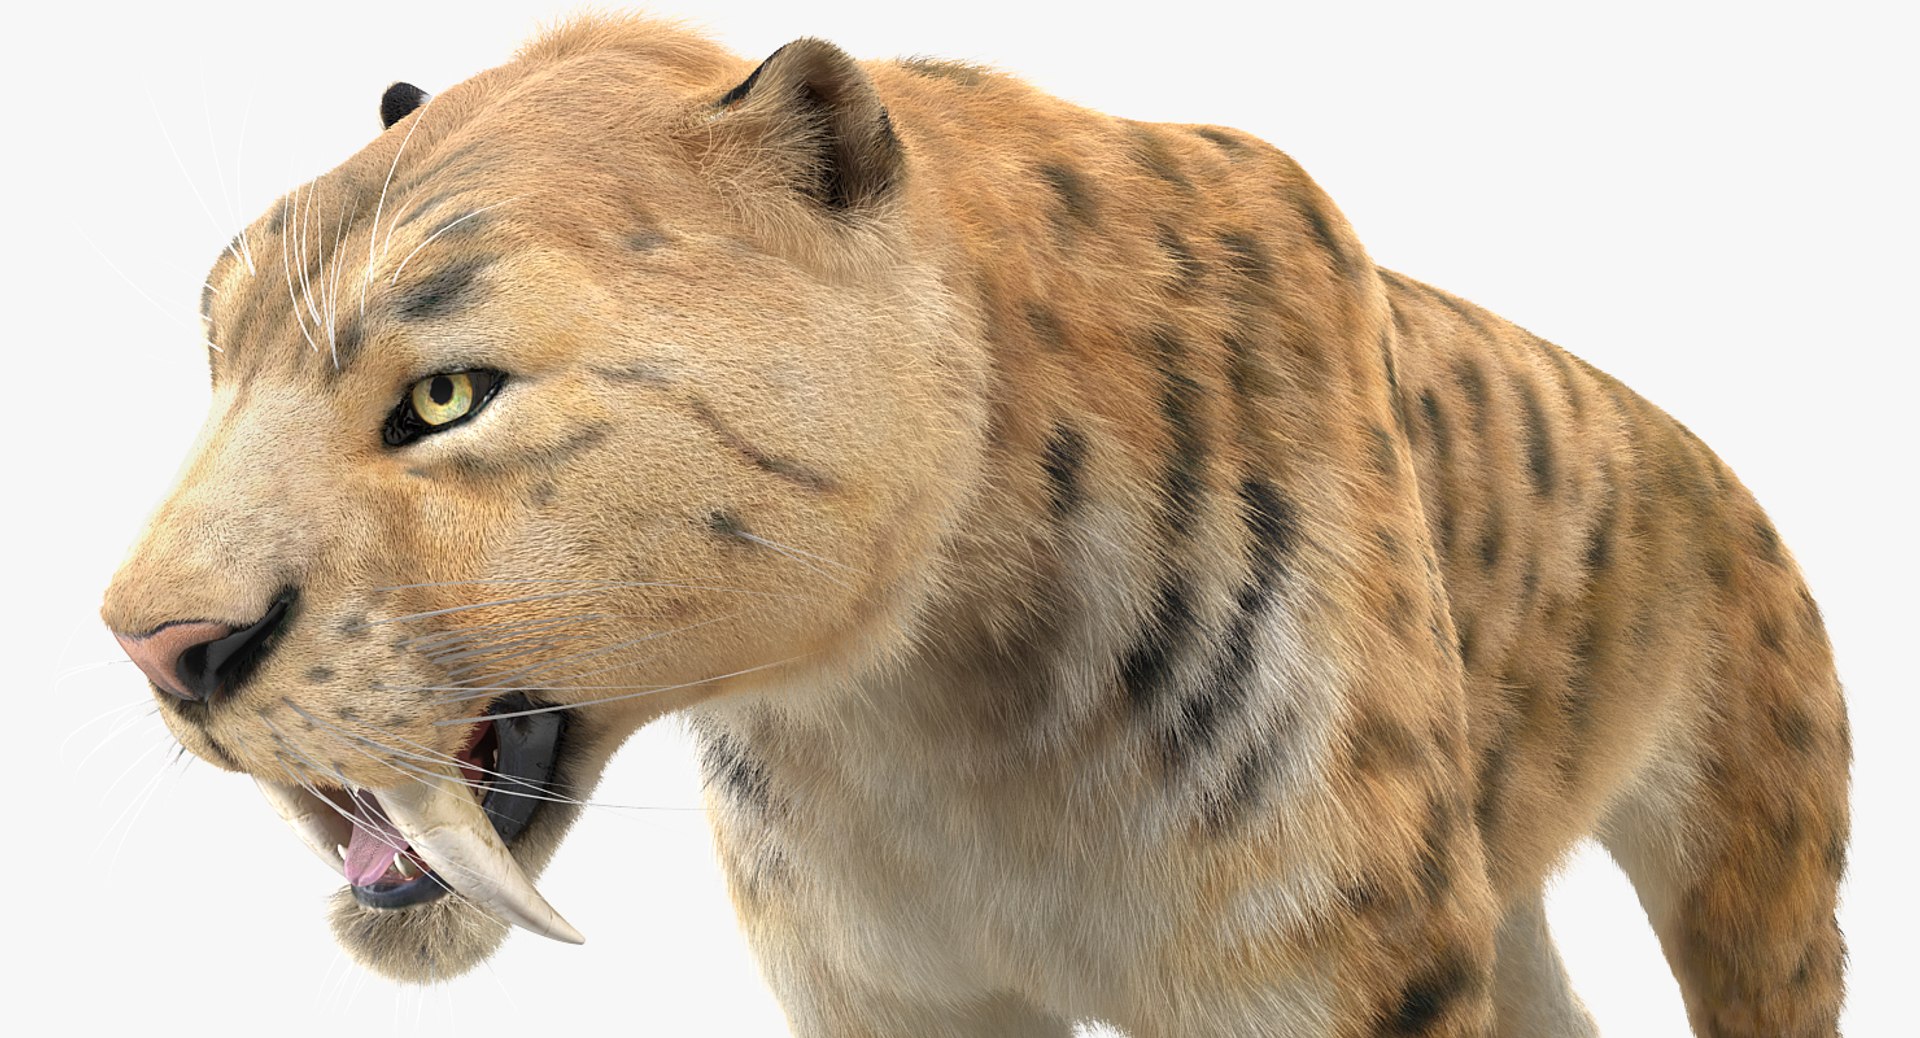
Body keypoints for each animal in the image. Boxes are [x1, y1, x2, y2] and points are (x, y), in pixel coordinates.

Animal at [100, 14, 1850, 1037]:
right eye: (219, 360)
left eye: (449, 394)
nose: (153, 645)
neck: (921, 716)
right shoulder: (888, 995)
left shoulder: (1340, 983)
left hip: (1760, 878)